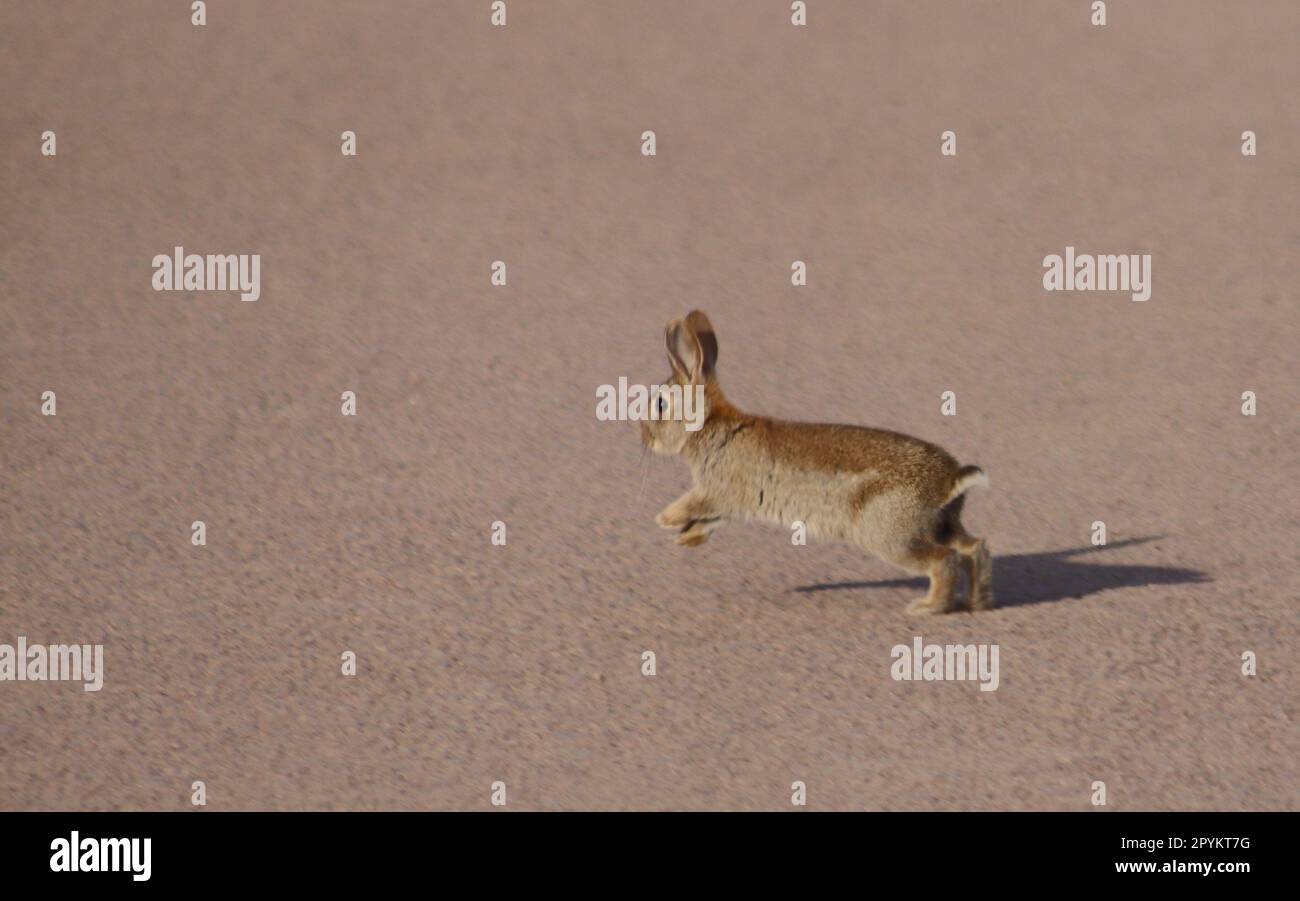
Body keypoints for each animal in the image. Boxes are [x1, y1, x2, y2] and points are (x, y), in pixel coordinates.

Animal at [640, 310, 992, 615]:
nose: (644, 436)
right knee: (974, 548)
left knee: (943, 560)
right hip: (941, 524)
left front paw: (665, 519)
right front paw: (686, 538)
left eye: (660, 404)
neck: (709, 425)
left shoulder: (719, 490)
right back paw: (977, 602)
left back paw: (926, 607)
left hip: (889, 534)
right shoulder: (732, 503)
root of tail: (950, 480)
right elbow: (711, 520)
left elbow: (693, 504)